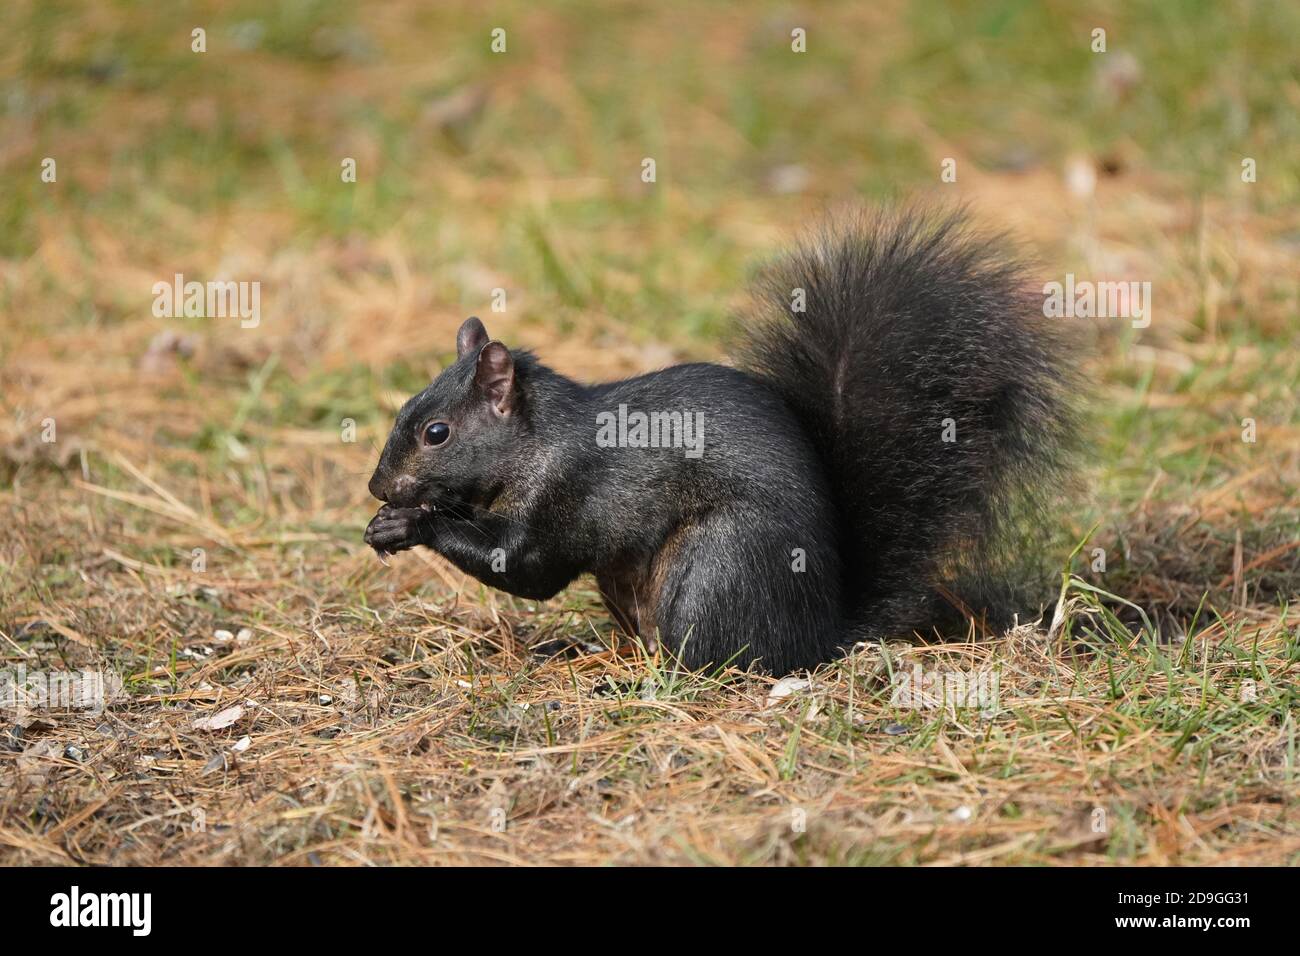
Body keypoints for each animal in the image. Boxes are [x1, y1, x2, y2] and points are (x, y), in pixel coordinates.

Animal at [364, 206, 1077, 674]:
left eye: (436, 432)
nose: (377, 486)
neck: (537, 439)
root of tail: (818, 633)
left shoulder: (567, 489)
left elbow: (526, 565)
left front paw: (410, 523)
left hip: (719, 563)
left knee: (715, 657)